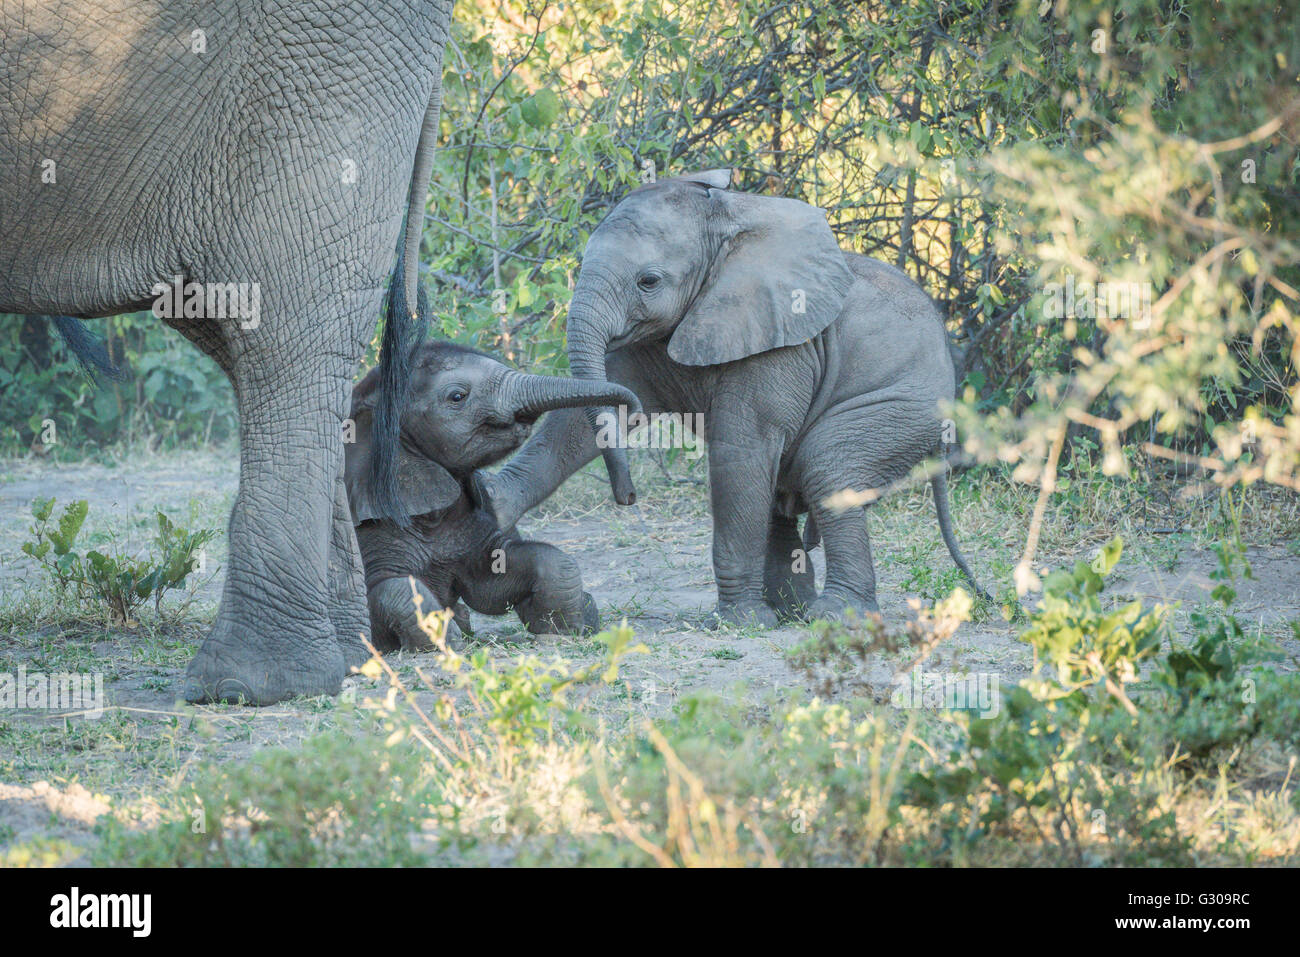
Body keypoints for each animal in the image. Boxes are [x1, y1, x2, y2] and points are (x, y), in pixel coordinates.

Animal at [344, 341, 639, 649]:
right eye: (457, 397)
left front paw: (561, 631)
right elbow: (388, 588)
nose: (628, 496)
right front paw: (448, 643)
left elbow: (495, 578)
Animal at [474, 169, 987, 627]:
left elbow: (741, 448)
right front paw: (492, 506)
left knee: (829, 467)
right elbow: (585, 418)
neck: (727, 222)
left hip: (905, 408)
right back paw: (791, 612)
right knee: (785, 489)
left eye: (648, 281)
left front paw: (740, 623)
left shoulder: (782, 340)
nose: (628, 496)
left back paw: (832, 617)